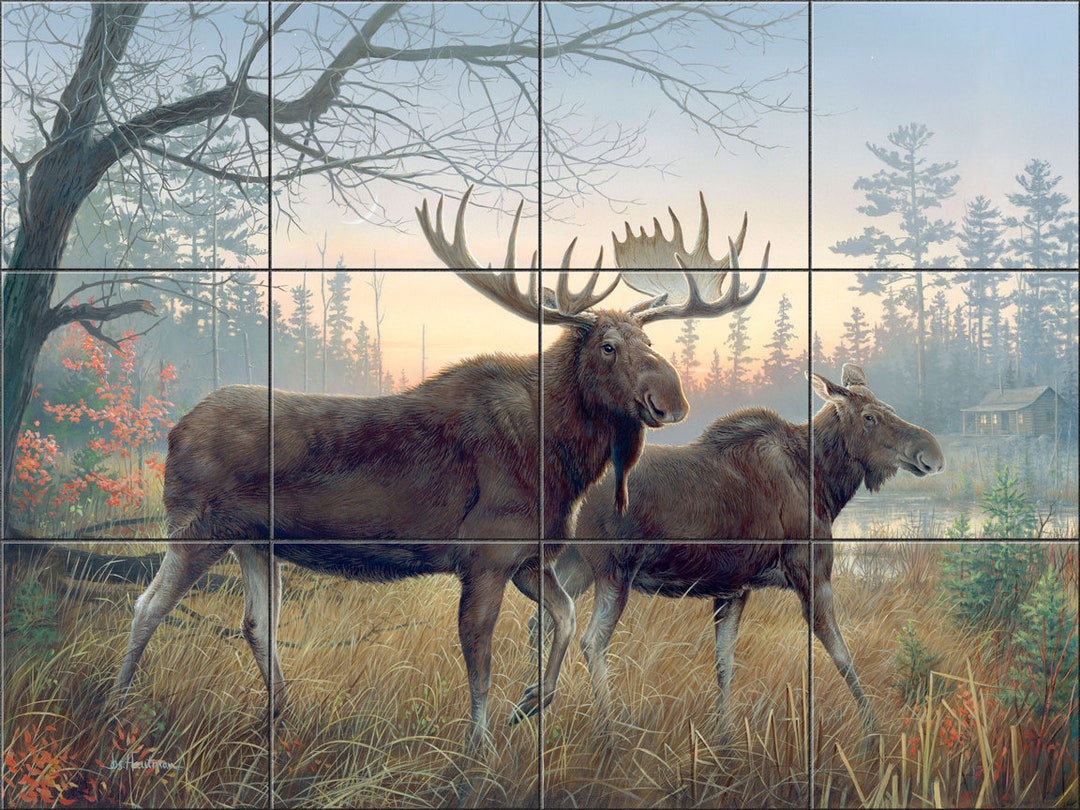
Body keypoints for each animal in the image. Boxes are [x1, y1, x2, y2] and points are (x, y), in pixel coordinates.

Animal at [111, 186, 769, 763]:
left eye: (650, 341)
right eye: (607, 346)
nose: (671, 398)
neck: (561, 462)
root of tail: (173, 431)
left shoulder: (531, 558)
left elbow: (562, 621)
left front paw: (532, 701)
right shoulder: (485, 555)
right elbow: (480, 657)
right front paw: (480, 747)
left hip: (255, 543)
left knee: (256, 624)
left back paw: (279, 715)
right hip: (197, 528)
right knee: (146, 606)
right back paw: (116, 706)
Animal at [534, 365, 945, 732]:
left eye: (889, 408)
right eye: (870, 417)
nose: (932, 453)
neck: (824, 484)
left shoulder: (734, 588)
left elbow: (724, 663)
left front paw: (724, 736)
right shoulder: (811, 572)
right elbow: (841, 652)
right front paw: (871, 729)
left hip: (574, 565)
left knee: (546, 620)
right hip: (612, 569)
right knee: (590, 640)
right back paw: (607, 729)